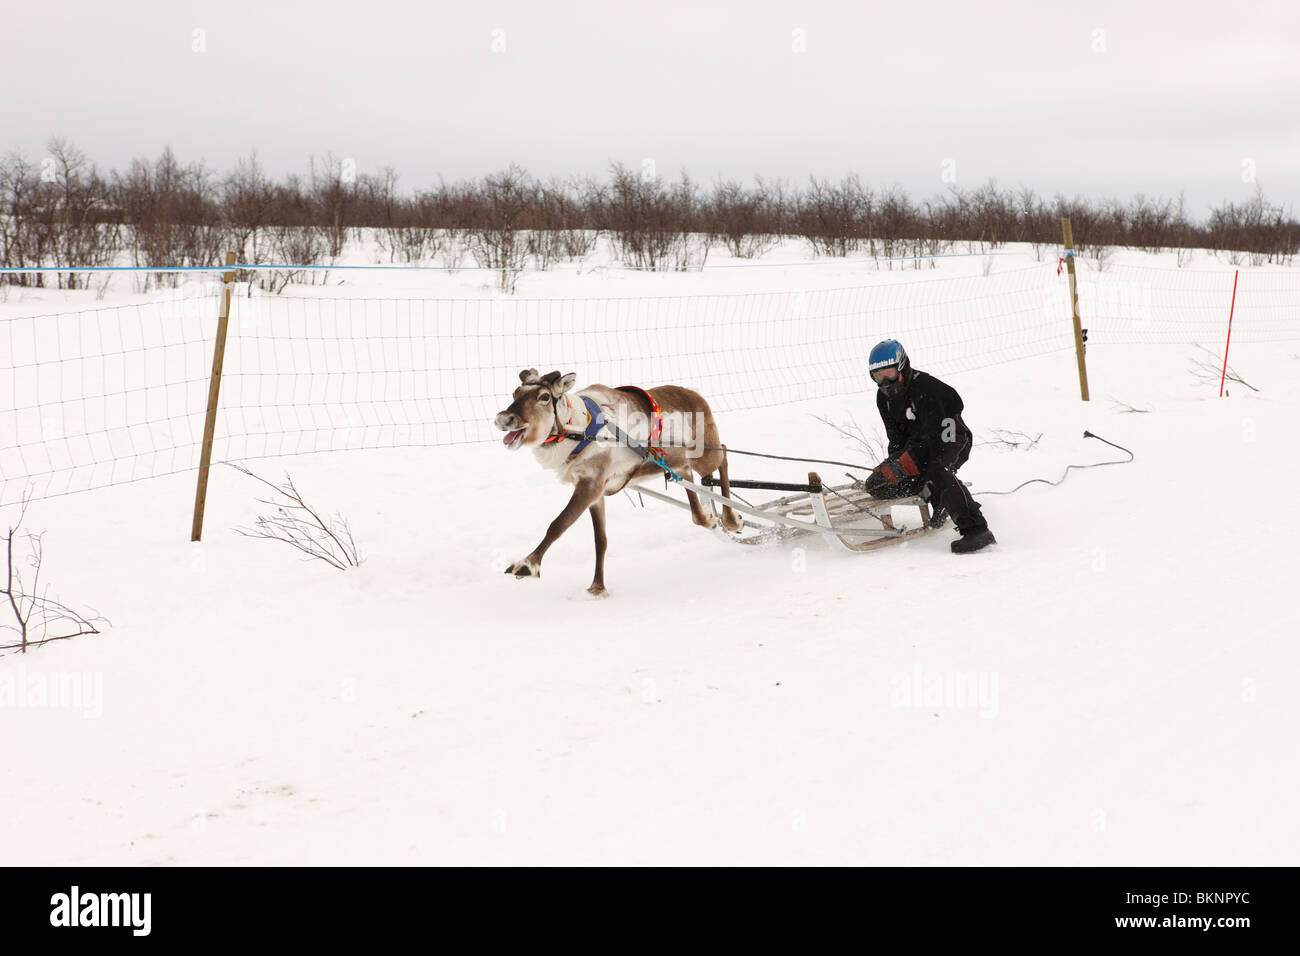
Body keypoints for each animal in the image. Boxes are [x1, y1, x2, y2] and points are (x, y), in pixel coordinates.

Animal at [494, 369, 743, 596]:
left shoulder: (591, 484)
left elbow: (559, 524)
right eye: (515, 393)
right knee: (692, 488)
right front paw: (597, 587)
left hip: (704, 455)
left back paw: (731, 520)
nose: (504, 418)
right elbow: (600, 540)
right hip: (678, 463)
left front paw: (527, 565)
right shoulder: (596, 491)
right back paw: (708, 517)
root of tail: (695, 393)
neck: (578, 429)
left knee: (723, 454)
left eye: (544, 396)